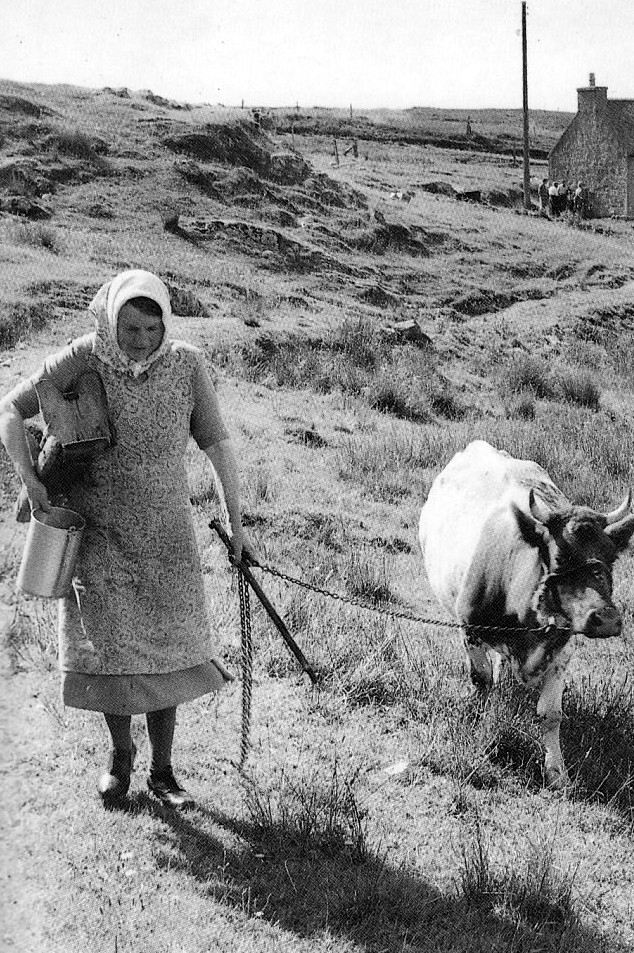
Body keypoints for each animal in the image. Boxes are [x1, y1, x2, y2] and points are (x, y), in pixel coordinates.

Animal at [419, 440, 634, 789]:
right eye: (560, 556)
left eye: (611, 556)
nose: (606, 620)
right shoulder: (471, 629)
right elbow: (481, 684)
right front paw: (478, 734)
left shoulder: (562, 648)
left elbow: (550, 714)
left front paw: (557, 772)